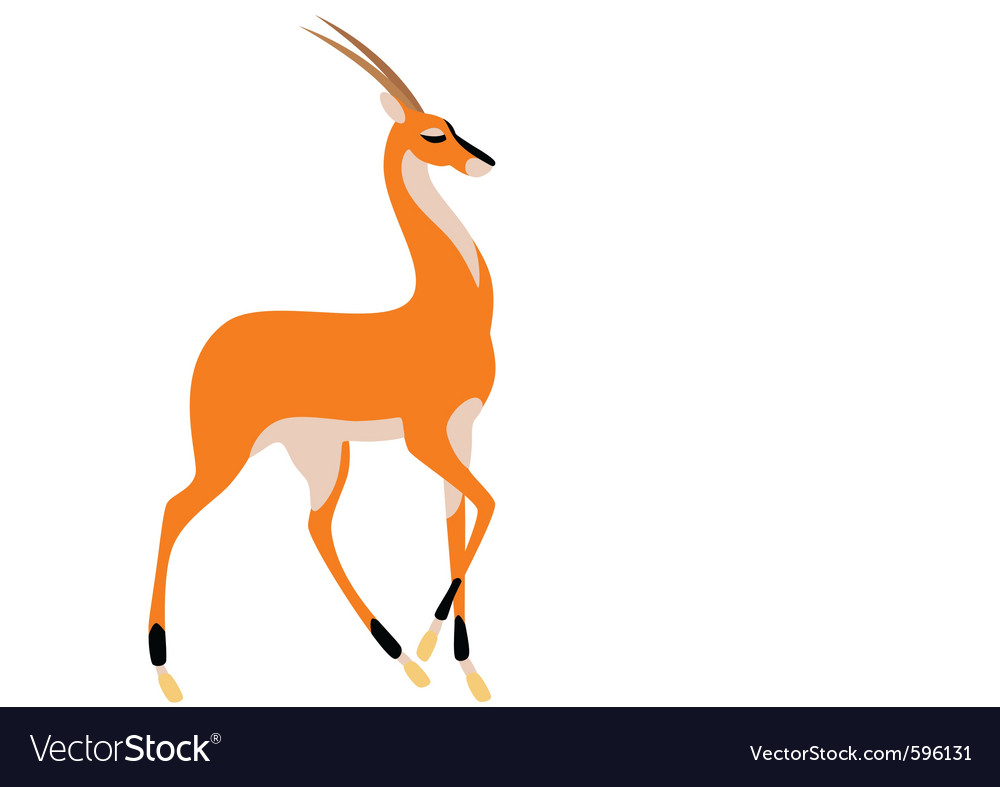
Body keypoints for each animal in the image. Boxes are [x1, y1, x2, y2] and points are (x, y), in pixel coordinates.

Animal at [148, 18, 497, 703]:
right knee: (175, 509)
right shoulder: (425, 436)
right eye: (432, 132)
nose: (483, 161)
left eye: (451, 122)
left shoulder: (463, 431)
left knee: (316, 528)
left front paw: (465, 665)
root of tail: (210, 345)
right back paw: (164, 669)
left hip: (322, 452)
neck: (447, 309)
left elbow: (457, 520)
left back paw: (399, 656)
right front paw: (433, 638)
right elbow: (490, 505)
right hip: (229, 451)